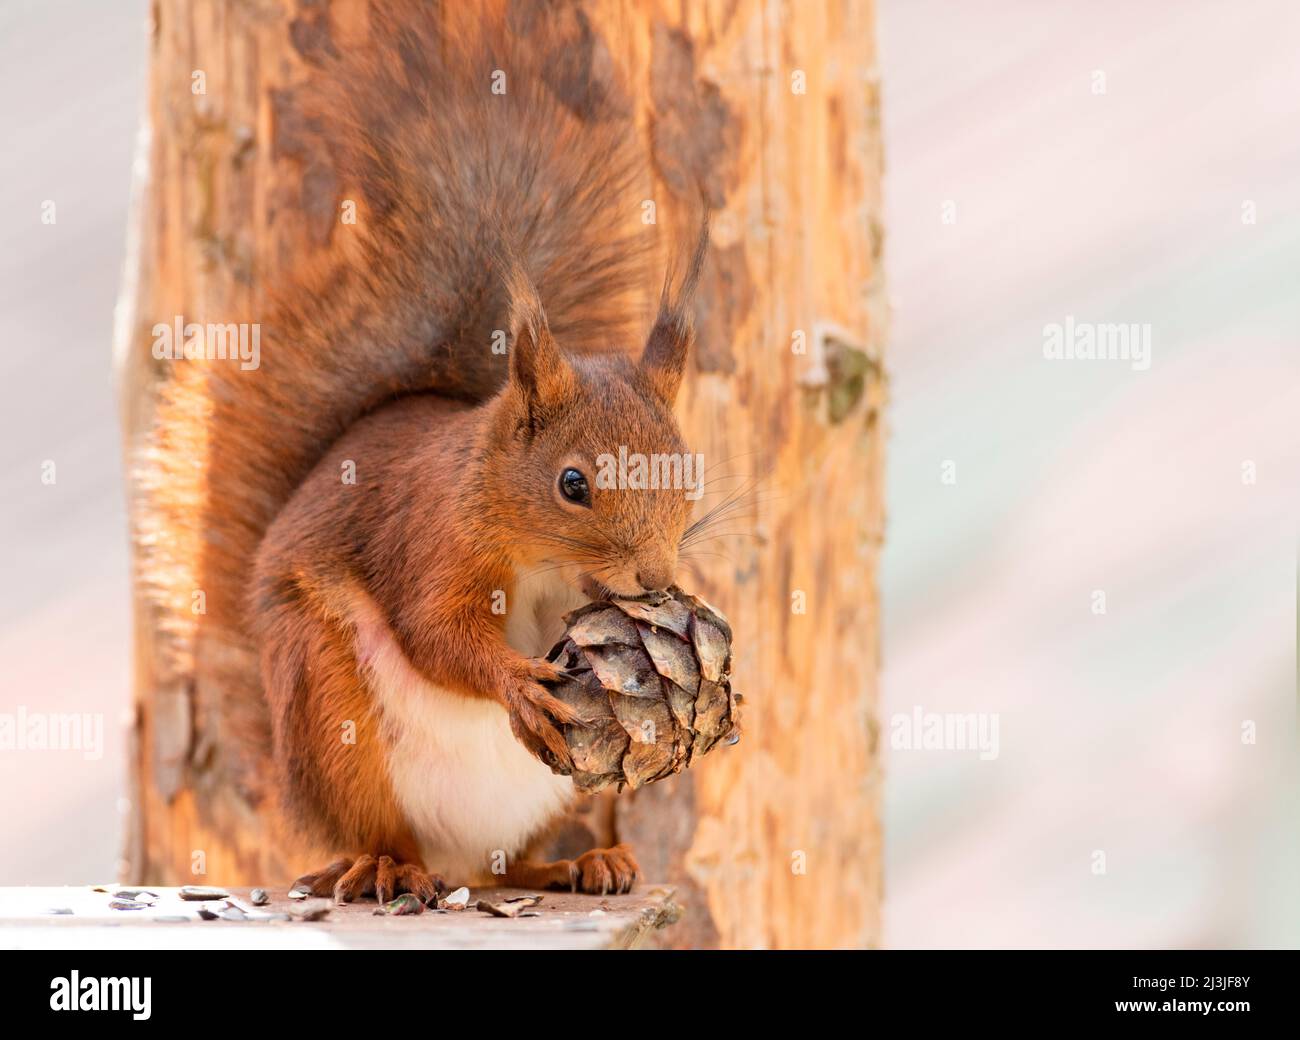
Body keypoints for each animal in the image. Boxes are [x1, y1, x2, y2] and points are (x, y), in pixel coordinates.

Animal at [137, 4, 709, 902]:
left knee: (512, 865)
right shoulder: (431, 539)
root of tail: (453, 856)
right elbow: (435, 632)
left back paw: (581, 863)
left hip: (551, 793)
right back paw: (386, 867)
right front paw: (515, 680)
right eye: (572, 483)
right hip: (332, 706)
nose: (655, 580)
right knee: (382, 829)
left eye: (687, 469)